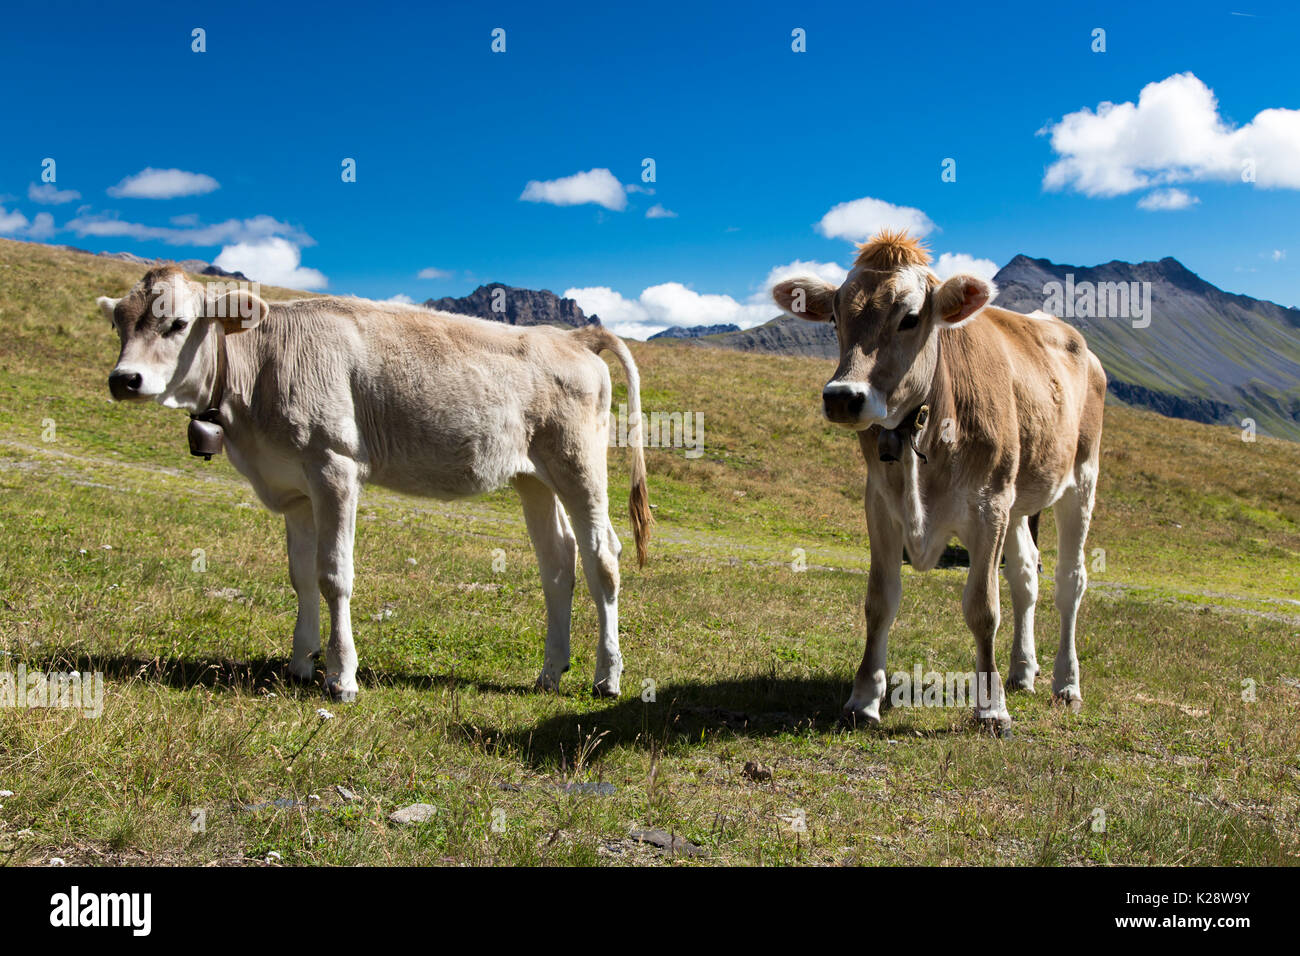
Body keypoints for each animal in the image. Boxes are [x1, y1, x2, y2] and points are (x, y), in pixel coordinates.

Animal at [97, 268, 651, 702]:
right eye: (118, 324)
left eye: (177, 323)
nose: (124, 379)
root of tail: (571, 337)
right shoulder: (294, 490)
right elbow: (301, 576)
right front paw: (300, 663)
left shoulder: (334, 466)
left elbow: (333, 575)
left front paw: (342, 677)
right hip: (533, 477)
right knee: (557, 562)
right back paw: (549, 673)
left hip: (578, 463)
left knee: (602, 556)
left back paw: (607, 677)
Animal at [773, 230, 1105, 734]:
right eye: (834, 316)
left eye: (910, 317)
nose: (843, 397)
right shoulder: (880, 504)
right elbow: (879, 601)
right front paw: (864, 698)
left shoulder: (989, 507)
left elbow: (983, 607)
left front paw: (991, 709)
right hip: (1019, 501)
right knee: (1026, 575)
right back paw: (1022, 671)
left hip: (1080, 479)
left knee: (1070, 580)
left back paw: (1066, 684)